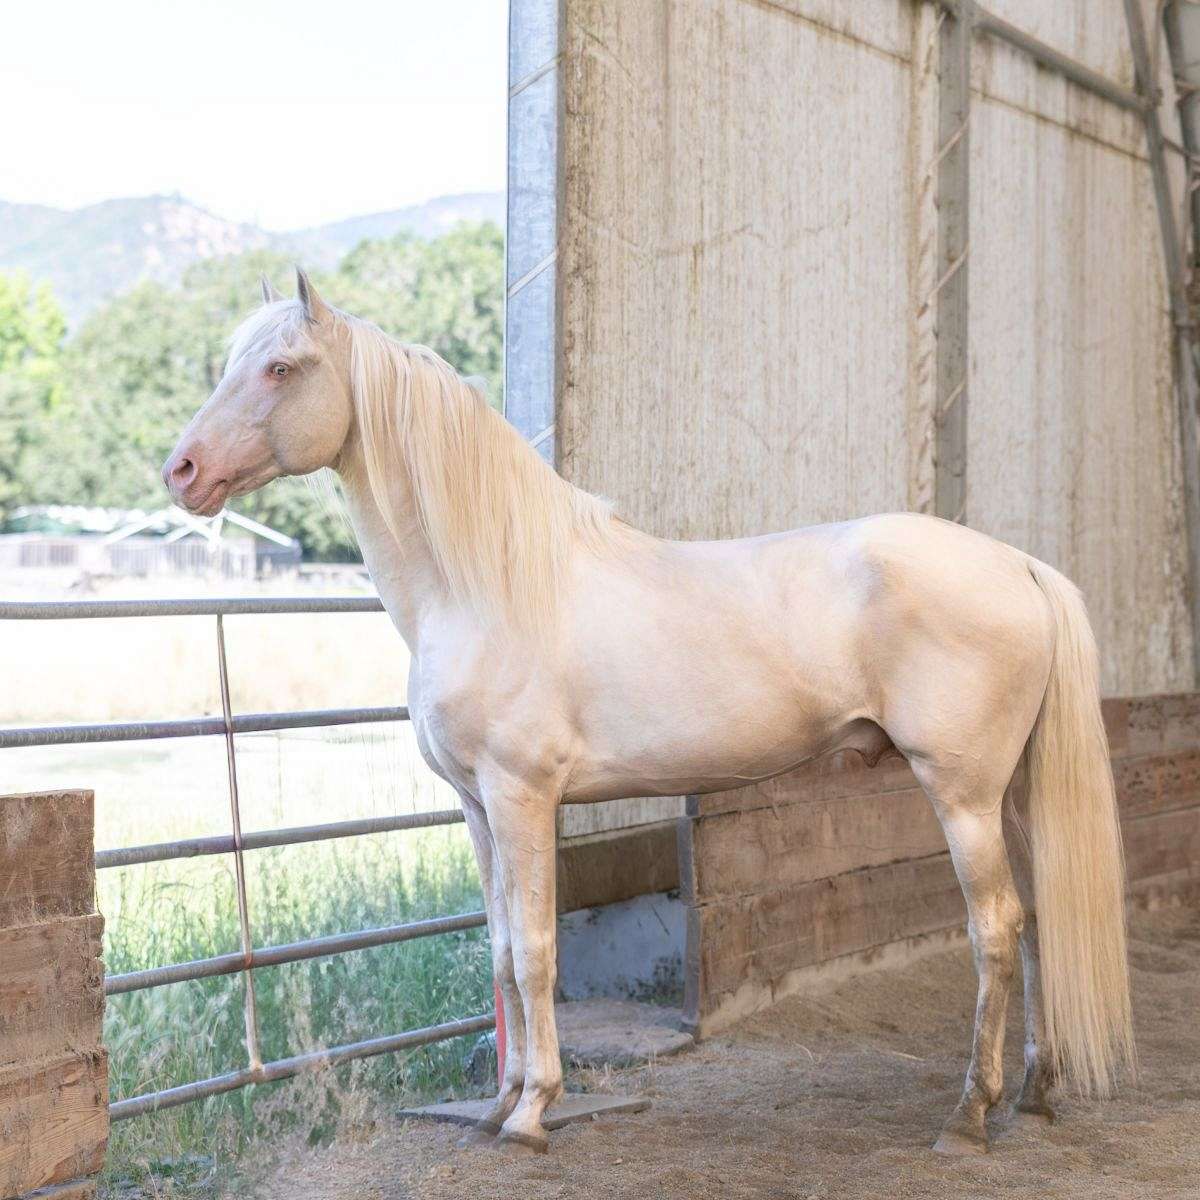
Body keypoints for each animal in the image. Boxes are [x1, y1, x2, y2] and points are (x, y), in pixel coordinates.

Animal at [163, 269, 1134, 1158]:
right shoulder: (476, 807)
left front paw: (532, 1112)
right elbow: (501, 954)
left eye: (282, 367)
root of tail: (1019, 566)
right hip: (1011, 793)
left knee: (996, 929)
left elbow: (536, 952)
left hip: (962, 796)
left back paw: (969, 1113)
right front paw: (497, 1104)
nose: (182, 471)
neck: (486, 584)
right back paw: (1034, 1092)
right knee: (1039, 918)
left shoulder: (522, 799)